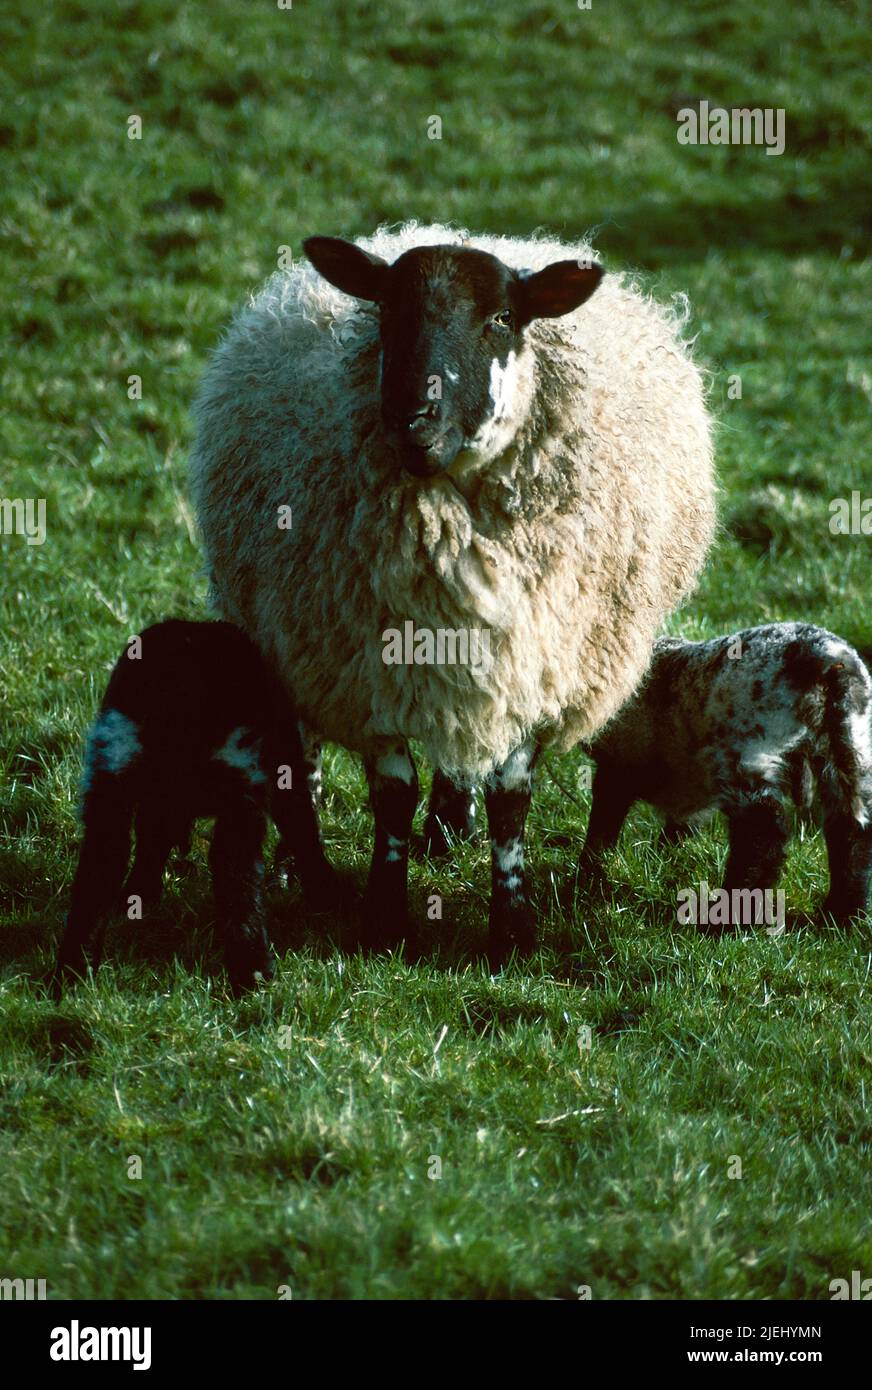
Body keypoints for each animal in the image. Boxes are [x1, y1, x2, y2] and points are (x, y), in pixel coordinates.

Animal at [189, 222, 716, 964]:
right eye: (387, 310)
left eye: (500, 319)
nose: (415, 418)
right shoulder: (367, 667)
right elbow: (391, 794)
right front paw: (385, 919)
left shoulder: (535, 665)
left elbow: (510, 798)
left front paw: (512, 929)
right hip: (296, 638)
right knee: (303, 745)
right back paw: (301, 859)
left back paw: (449, 828)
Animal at [580, 623, 872, 927]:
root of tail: (827, 658)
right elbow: (684, 822)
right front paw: (662, 856)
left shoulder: (619, 763)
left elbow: (605, 817)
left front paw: (590, 873)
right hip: (851, 740)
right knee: (851, 829)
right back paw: (842, 914)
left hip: (749, 748)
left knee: (764, 834)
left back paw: (728, 918)